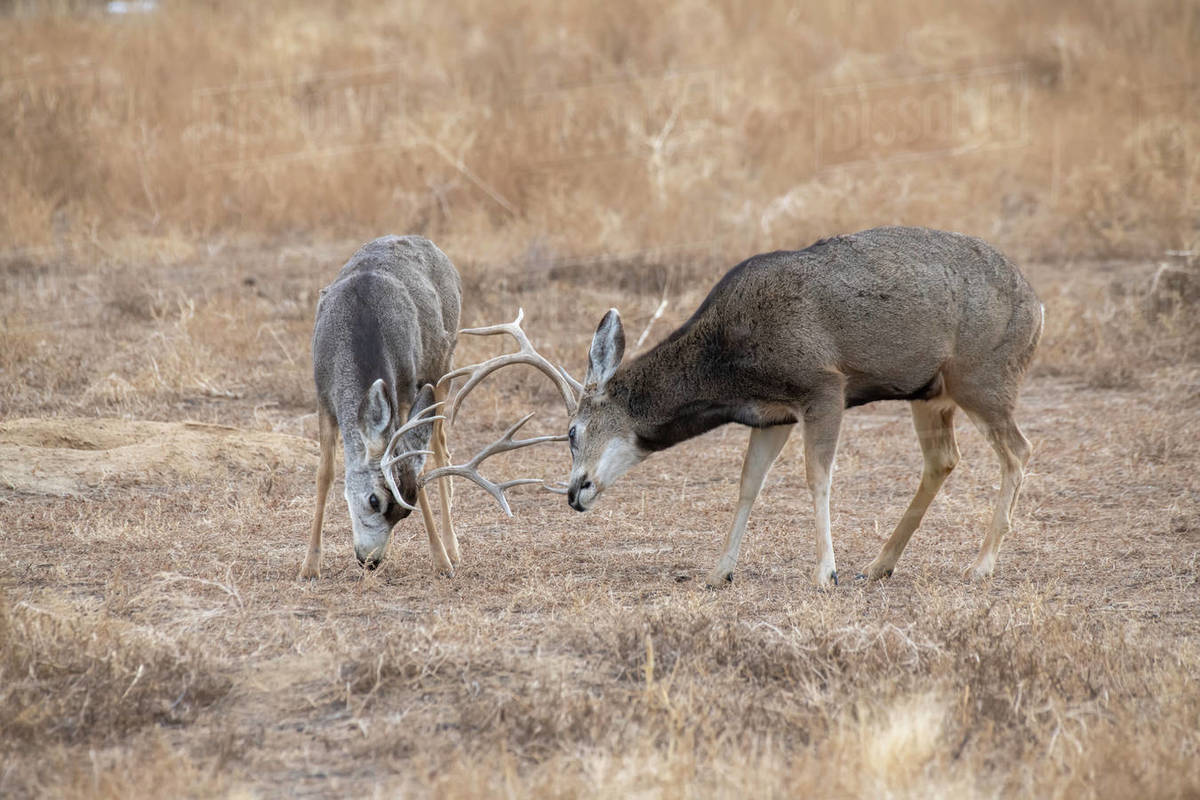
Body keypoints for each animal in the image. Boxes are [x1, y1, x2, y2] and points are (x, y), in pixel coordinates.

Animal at [300, 235, 563, 579]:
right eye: (373, 500)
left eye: (404, 513)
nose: (370, 561)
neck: (359, 329)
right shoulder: (323, 395)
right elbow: (324, 473)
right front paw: (309, 566)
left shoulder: (406, 389)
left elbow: (418, 466)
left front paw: (441, 561)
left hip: (442, 368)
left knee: (440, 448)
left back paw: (452, 546)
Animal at [449, 226, 1044, 588]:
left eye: (572, 431)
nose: (575, 493)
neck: (729, 363)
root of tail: (1038, 306)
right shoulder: (772, 414)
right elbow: (748, 485)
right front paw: (719, 572)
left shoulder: (823, 387)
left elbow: (817, 478)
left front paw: (824, 573)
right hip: (930, 392)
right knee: (943, 459)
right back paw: (879, 565)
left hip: (984, 378)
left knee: (1018, 450)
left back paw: (980, 566)